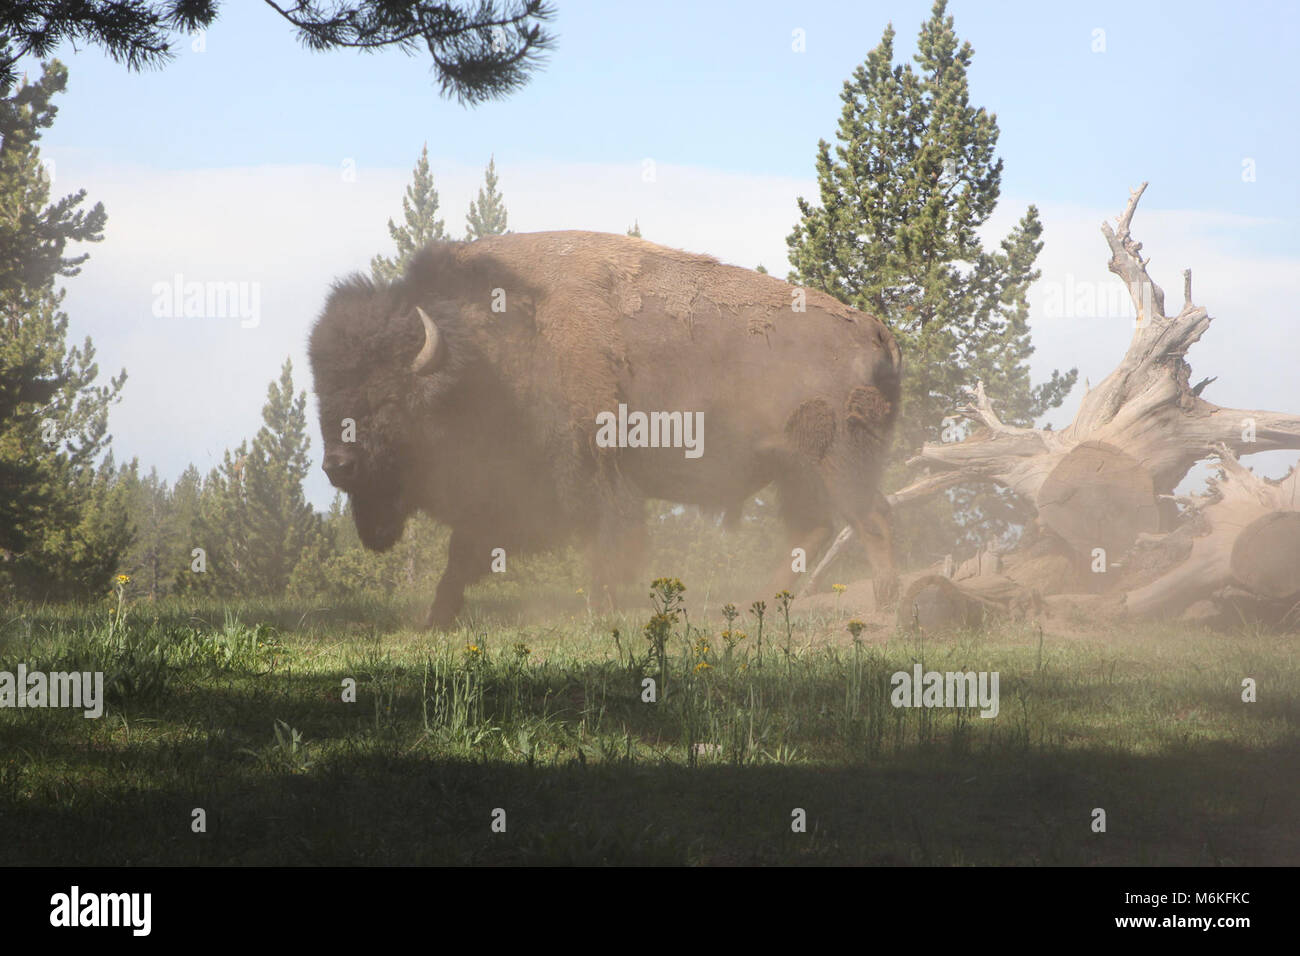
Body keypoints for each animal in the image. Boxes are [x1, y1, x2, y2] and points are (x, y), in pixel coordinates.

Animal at [308, 231, 901, 627]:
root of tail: (874, 328)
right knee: (814, 530)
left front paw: (601, 611)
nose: (337, 465)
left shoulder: (594, 472)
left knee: (871, 518)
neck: (488, 351)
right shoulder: (502, 490)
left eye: (387, 397)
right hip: (794, 469)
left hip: (838, 459)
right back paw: (757, 602)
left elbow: (605, 542)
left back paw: (888, 606)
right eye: (324, 394)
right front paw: (435, 620)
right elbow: (462, 556)